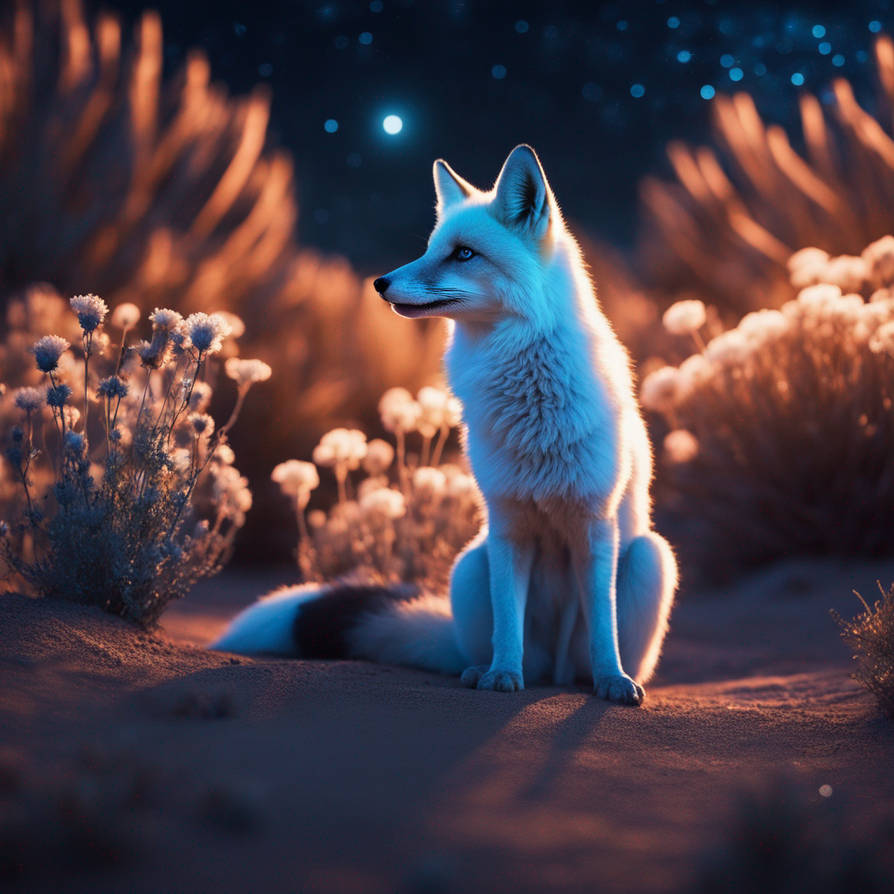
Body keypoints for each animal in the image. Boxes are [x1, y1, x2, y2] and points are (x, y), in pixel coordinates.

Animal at [213, 145, 678, 705]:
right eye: (433, 248)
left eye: (463, 254)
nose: (379, 282)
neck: (533, 401)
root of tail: (557, 672)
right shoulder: (506, 524)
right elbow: (507, 627)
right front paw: (502, 676)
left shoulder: (595, 525)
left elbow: (603, 630)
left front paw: (613, 681)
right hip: (471, 565)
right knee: (498, 651)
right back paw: (483, 669)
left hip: (651, 557)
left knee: (586, 653)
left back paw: (591, 679)